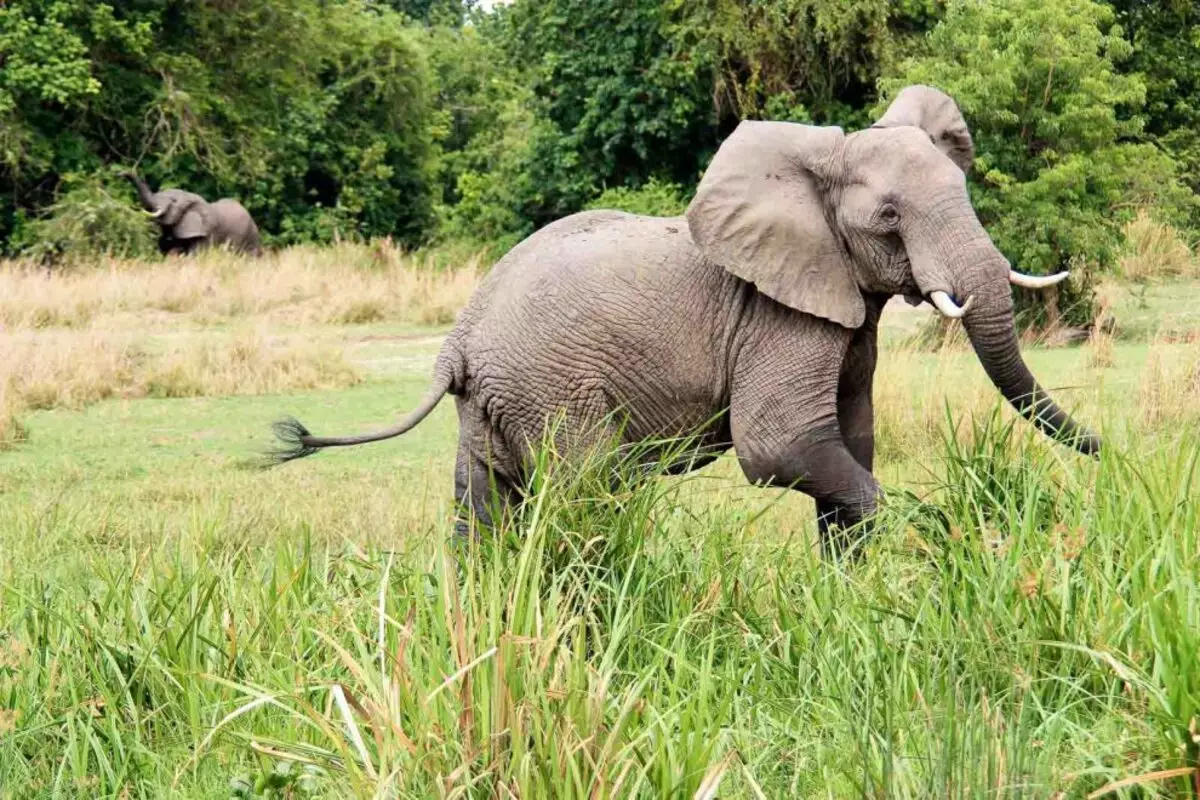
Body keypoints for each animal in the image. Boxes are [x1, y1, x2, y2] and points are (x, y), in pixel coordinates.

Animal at [272, 82, 1099, 556]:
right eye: (890, 217)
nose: (1104, 451)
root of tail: (457, 340)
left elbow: (850, 442)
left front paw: (851, 596)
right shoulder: (776, 317)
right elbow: (782, 445)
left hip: (490, 405)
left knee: (480, 513)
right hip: (552, 392)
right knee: (582, 493)